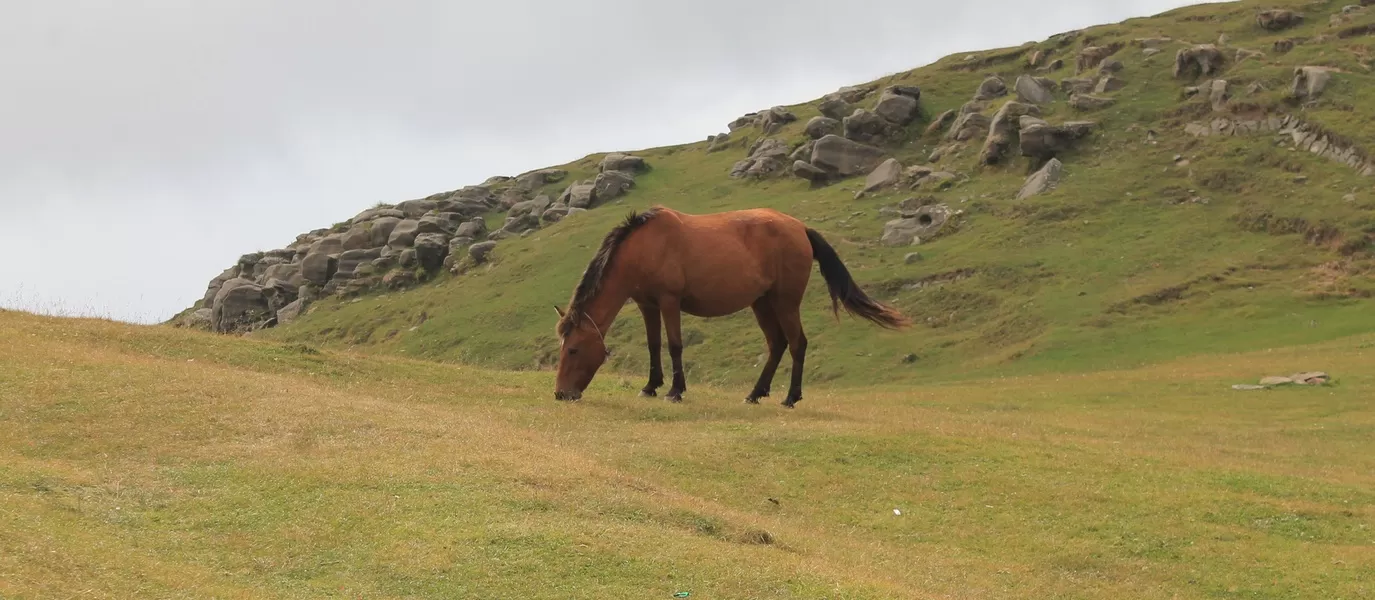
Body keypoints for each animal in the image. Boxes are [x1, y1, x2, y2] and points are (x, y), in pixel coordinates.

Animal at [552, 205, 907, 407]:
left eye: (573, 349)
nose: (561, 394)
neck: (644, 247)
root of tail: (800, 228)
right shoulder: (647, 305)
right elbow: (654, 346)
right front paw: (651, 386)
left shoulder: (669, 302)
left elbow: (674, 345)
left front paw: (675, 391)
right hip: (762, 303)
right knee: (777, 344)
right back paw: (755, 393)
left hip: (785, 302)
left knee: (797, 344)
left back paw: (790, 397)